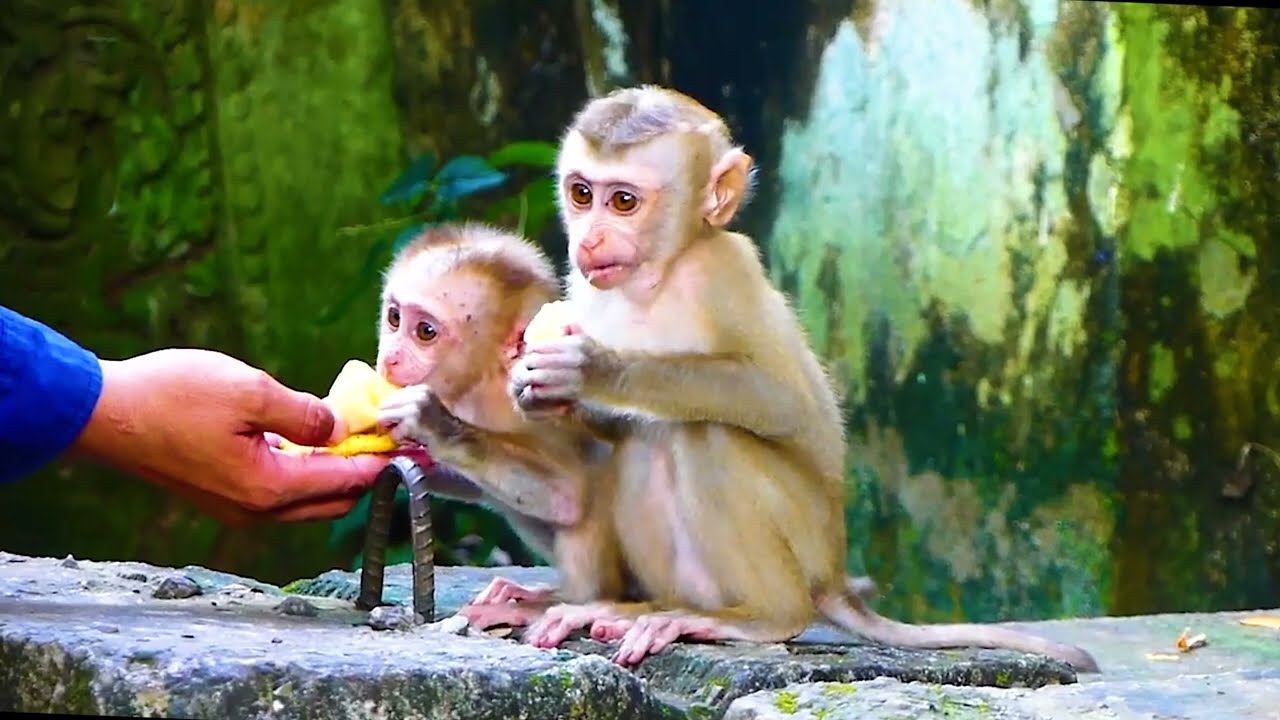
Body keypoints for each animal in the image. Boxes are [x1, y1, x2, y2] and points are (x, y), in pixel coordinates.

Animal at [507, 85, 1100, 672]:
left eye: (623, 201)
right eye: (581, 193)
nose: (589, 240)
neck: (658, 278)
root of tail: (834, 576)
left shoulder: (724, 272)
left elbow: (776, 398)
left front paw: (591, 368)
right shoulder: (586, 287)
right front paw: (538, 389)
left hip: (806, 538)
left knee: (701, 431)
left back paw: (763, 617)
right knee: (640, 439)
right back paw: (634, 608)